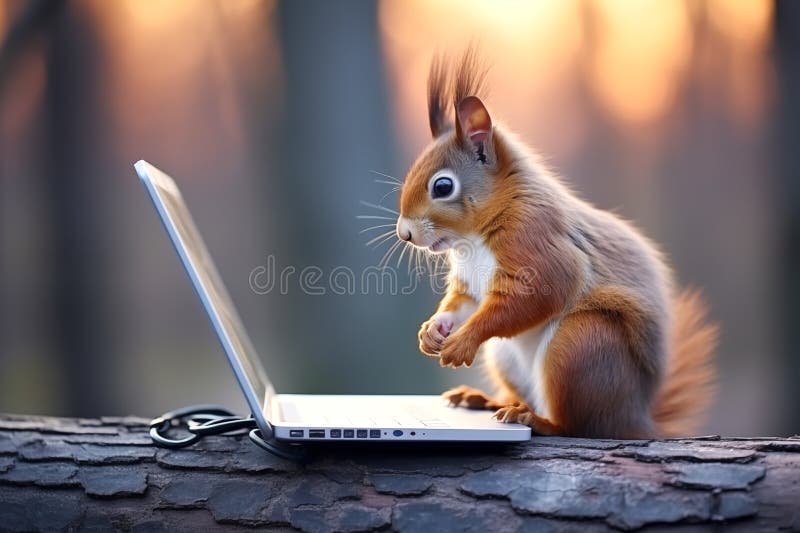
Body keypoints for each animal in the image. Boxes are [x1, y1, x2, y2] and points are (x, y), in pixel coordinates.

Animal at [394, 50, 718, 439]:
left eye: (442, 187)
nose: (404, 233)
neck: (472, 240)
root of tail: (634, 418)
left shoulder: (536, 240)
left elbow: (536, 295)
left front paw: (463, 340)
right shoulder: (470, 281)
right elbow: (463, 303)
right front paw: (433, 330)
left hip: (580, 346)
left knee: (577, 424)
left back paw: (536, 420)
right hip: (505, 357)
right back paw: (486, 400)